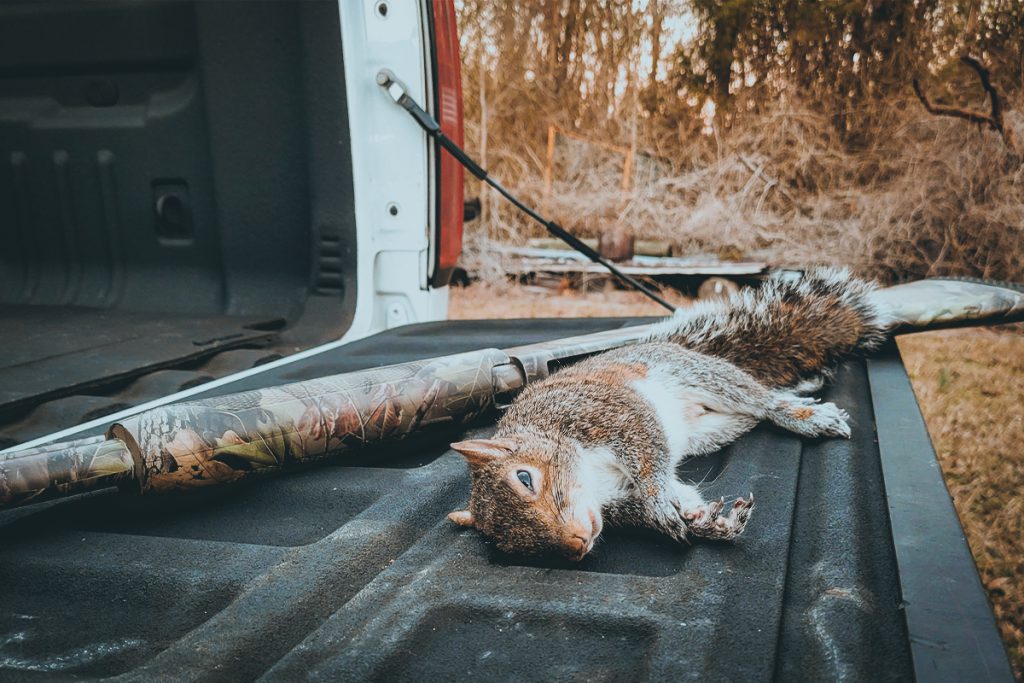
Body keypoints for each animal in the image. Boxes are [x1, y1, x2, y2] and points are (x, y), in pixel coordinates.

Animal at [447, 268, 889, 561]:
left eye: (525, 477)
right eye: (513, 545)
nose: (577, 544)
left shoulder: (606, 411)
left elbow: (647, 455)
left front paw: (662, 502)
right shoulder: (614, 499)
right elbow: (670, 496)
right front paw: (704, 520)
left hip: (697, 374)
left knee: (761, 399)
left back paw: (802, 413)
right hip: (715, 426)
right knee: (757, 406)